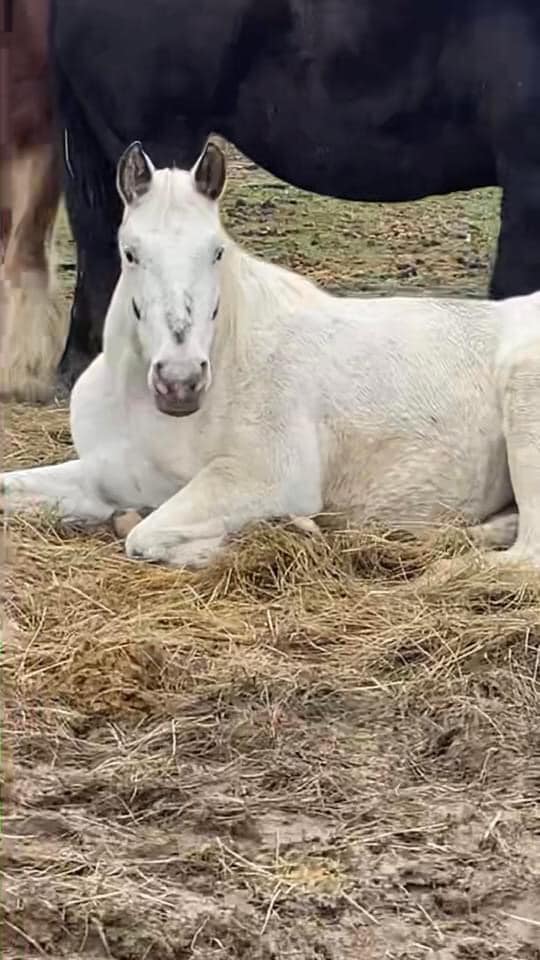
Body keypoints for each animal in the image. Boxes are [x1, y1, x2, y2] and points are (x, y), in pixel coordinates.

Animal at [2, 140, 540, 573]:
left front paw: (276, 535)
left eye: (217, 252)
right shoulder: (111, 472)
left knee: (524, 557)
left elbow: (145, 536)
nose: (181, 381)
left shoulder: (267, 479)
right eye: (130, 253)